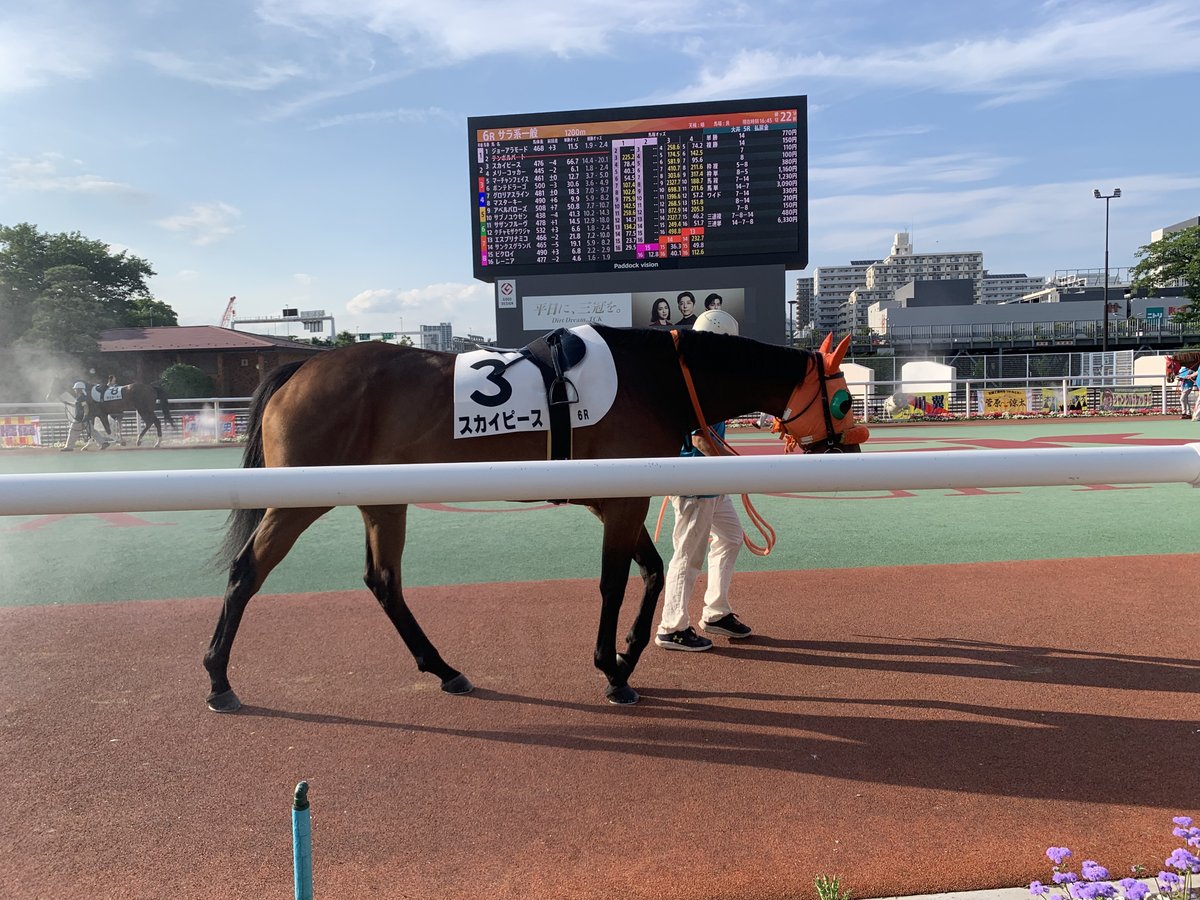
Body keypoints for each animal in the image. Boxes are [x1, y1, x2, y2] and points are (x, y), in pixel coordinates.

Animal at [205, 325, 870, 712]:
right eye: (843, 400)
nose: (851, 453)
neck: (652, 376)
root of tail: (300, 367)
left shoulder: (617, 500)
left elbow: (653, 573)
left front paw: (628, 655)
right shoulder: (622, 501)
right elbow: (615, 583)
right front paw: (613, 671)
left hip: (384, 500)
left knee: (383, 581)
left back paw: (445, 670)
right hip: (300, 499)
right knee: (246, 571)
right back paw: (217, 679)